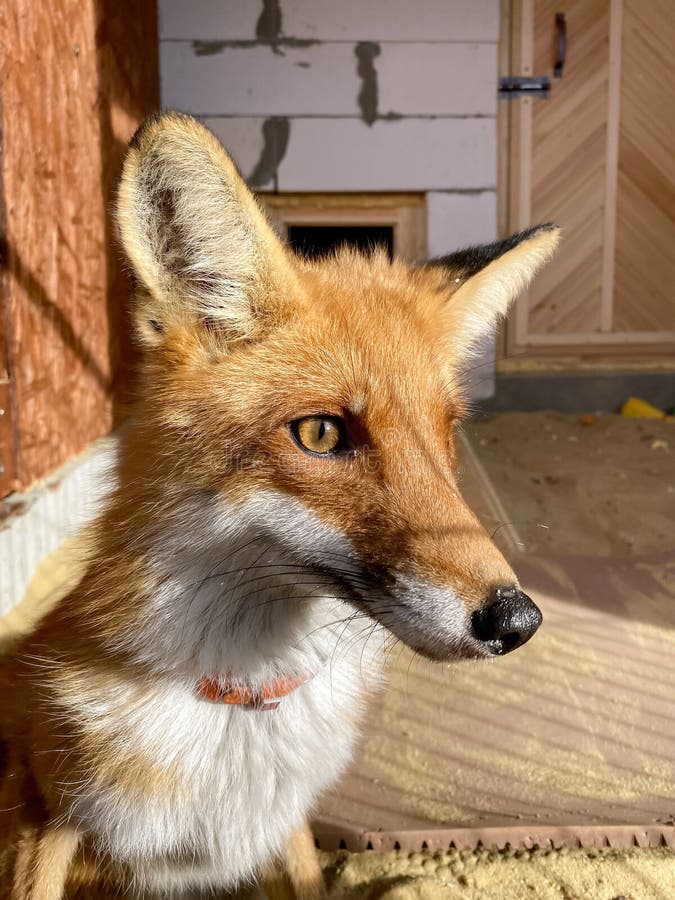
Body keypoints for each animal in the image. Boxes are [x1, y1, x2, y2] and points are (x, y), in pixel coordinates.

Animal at [0, 112, 558, 898]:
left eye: (447, 433)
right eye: (320, 433)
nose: (517, 620)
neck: (238, 700)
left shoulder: (283, 828)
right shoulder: (40, 813)